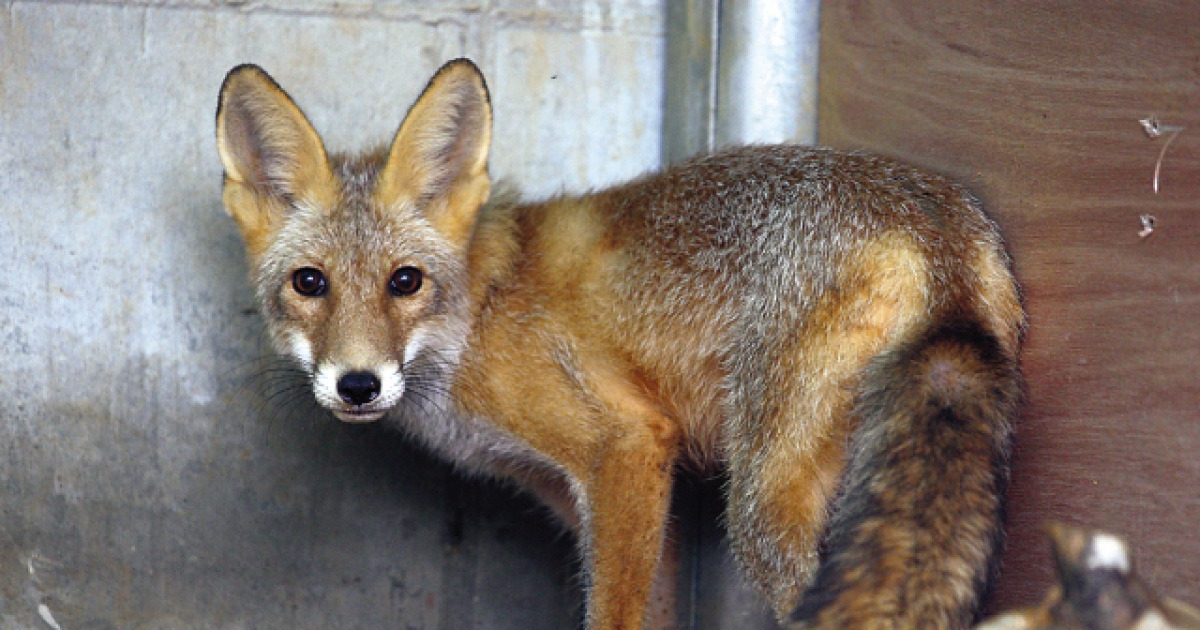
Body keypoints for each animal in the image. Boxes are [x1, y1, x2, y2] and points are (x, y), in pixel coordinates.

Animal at [214, 58, 1024, 629]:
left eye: (404, 281)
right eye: (310, 283)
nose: (358, 384)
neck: (478, 314)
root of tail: (929, 217)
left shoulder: (628, 445)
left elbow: (612, 616)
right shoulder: (595, 499)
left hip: (762, 507)